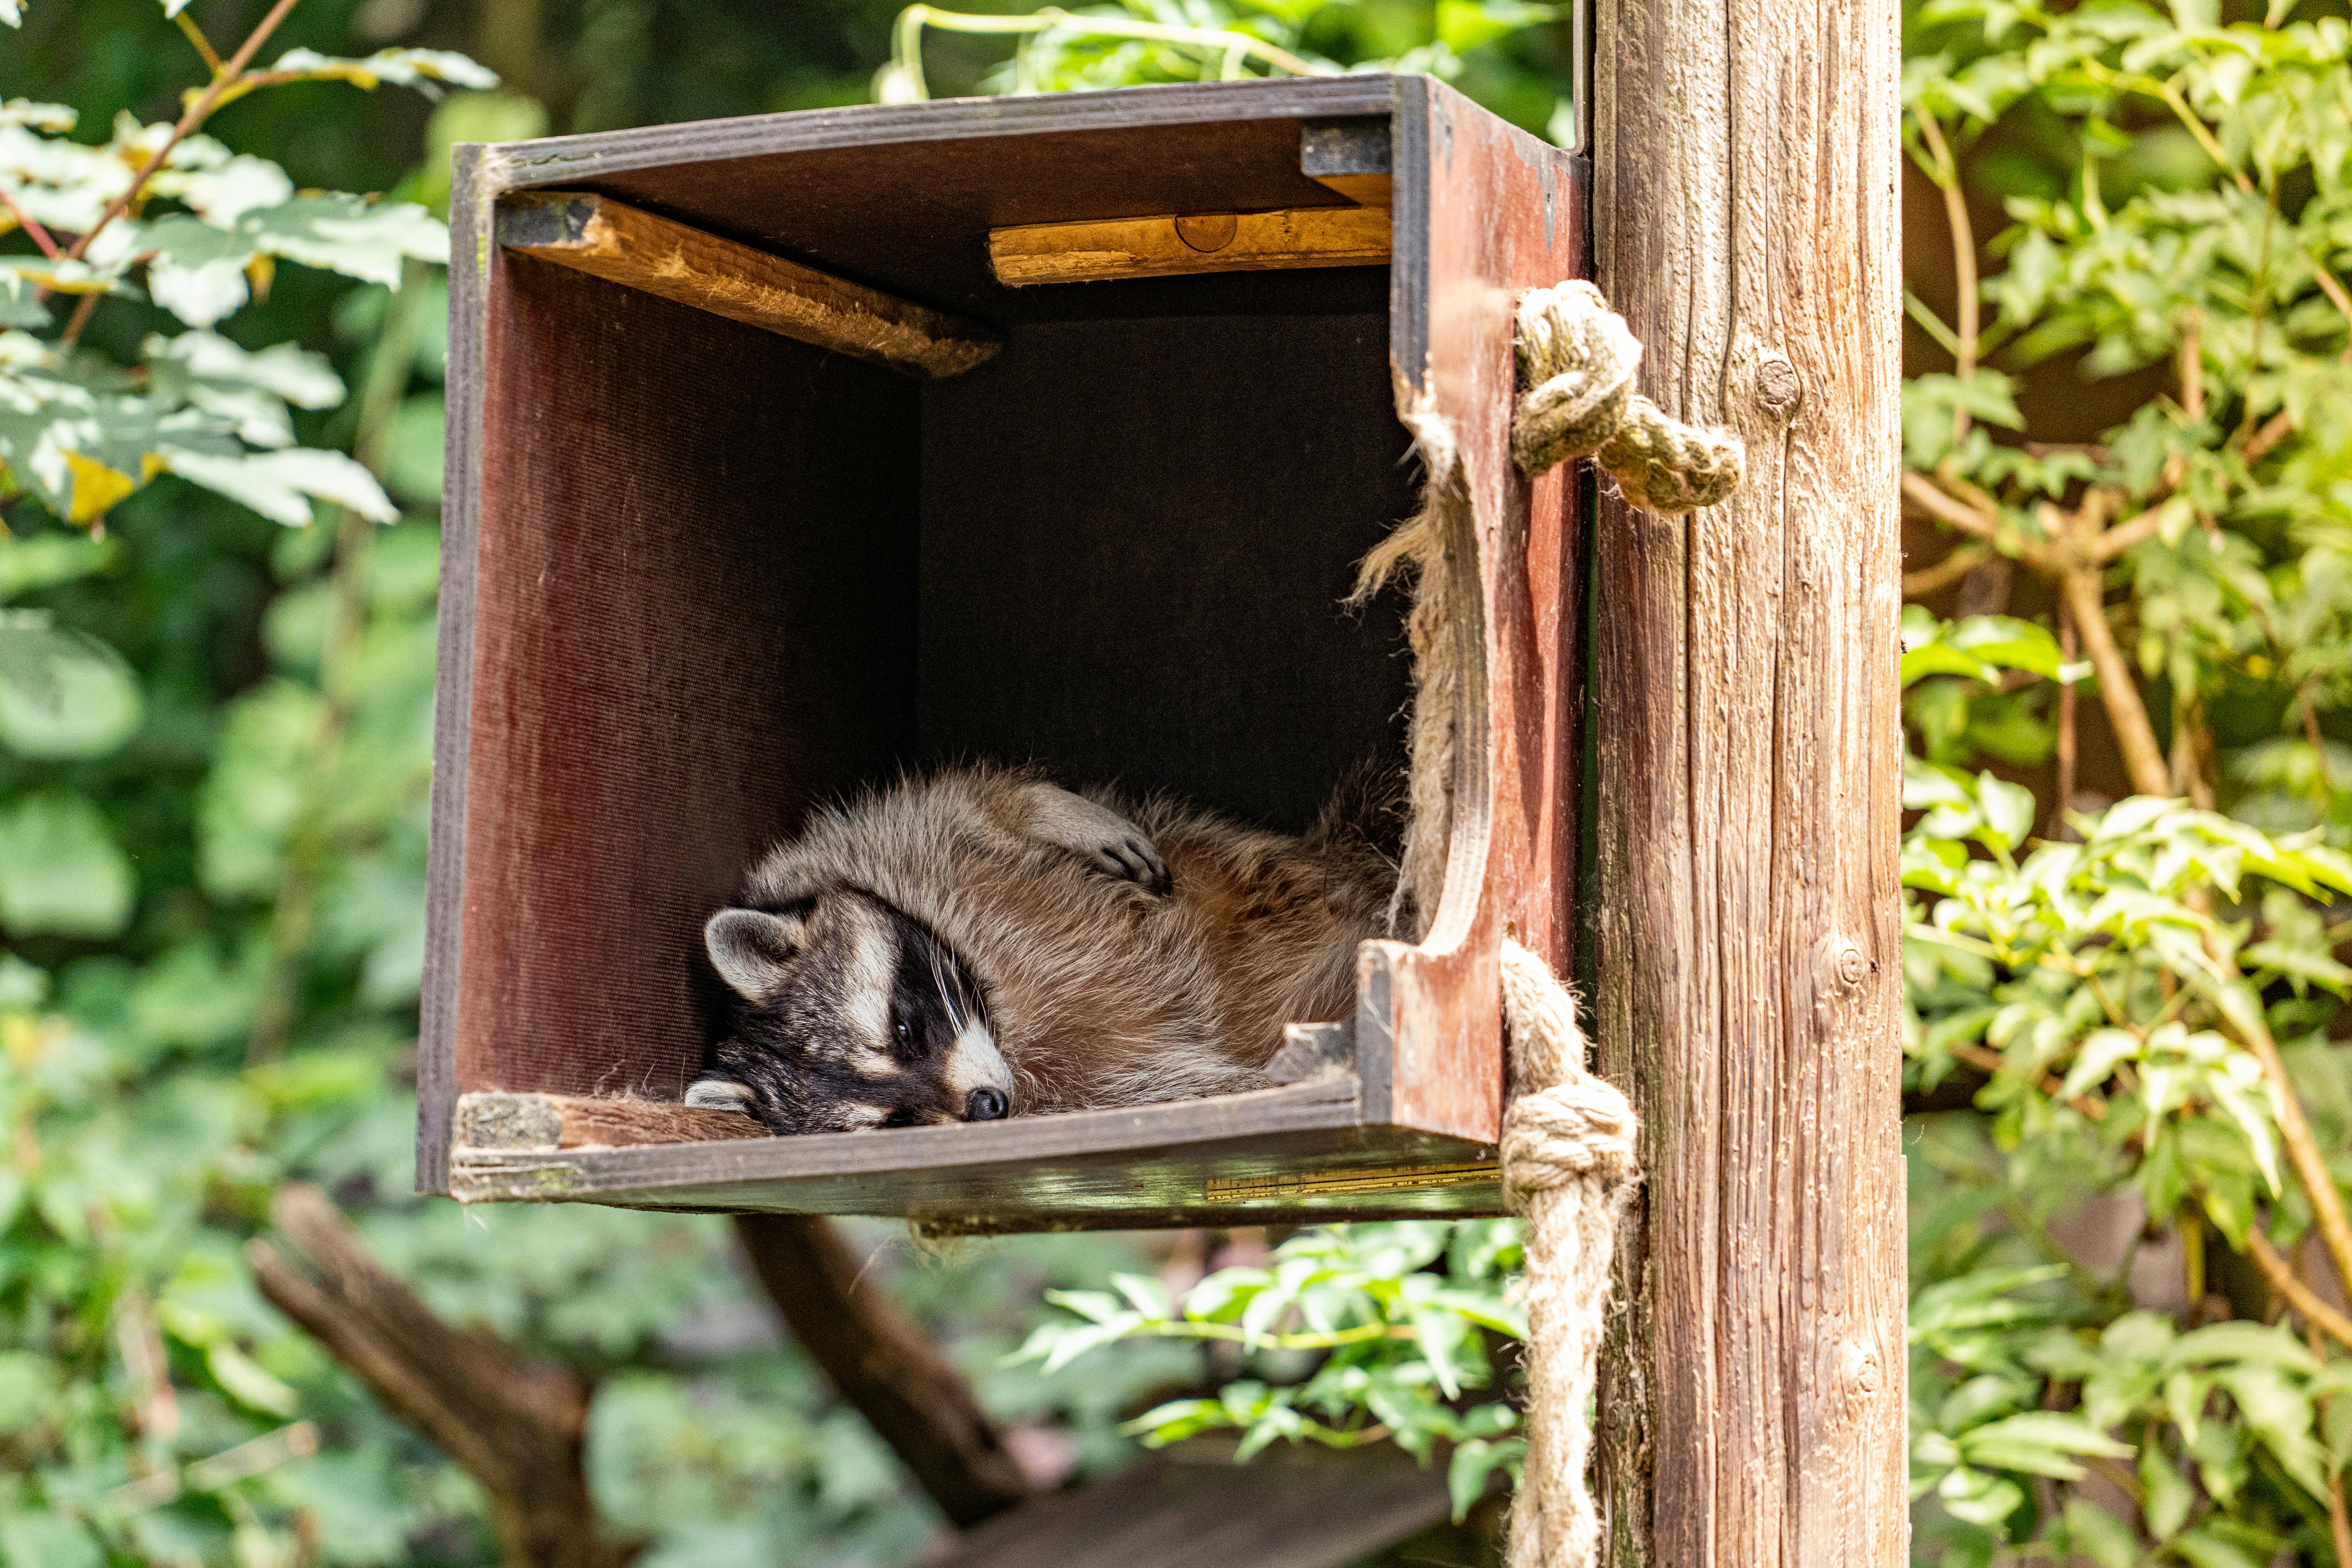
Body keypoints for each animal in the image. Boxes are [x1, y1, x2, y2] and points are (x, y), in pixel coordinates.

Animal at [686, 765, 1396, 1134]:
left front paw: (1045, 808)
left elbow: (966, 800)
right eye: (896, 1122)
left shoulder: (878, 847)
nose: (987, 1106)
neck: (994, 1001)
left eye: (905, 1030)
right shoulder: (1098, 1084)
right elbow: (1173, 1082)